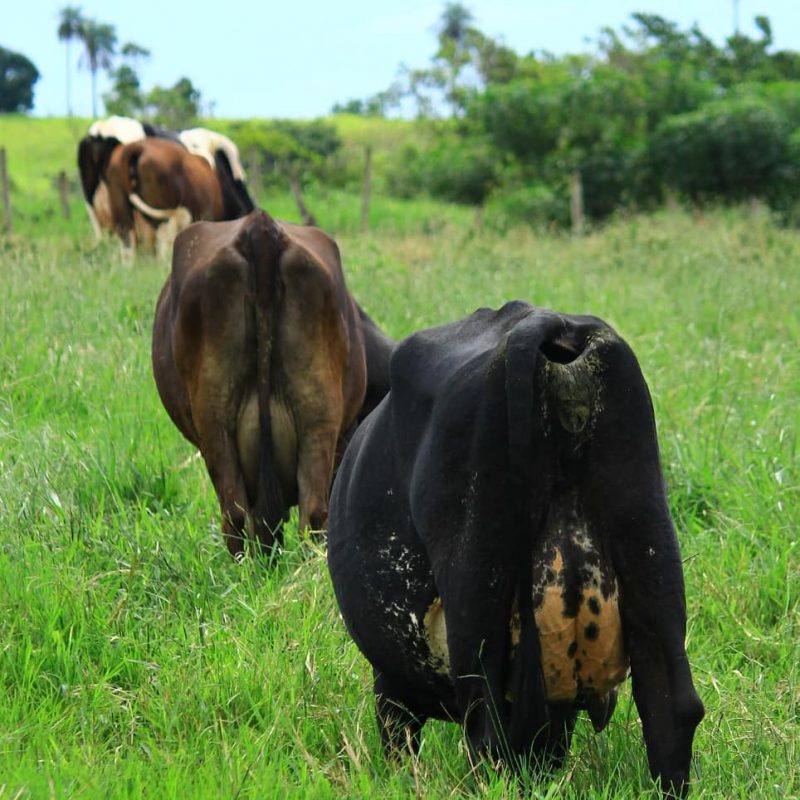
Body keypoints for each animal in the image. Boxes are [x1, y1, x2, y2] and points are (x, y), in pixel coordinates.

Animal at [327, 301, 704, 797]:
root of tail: (550, 322)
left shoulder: (390, 683)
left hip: (476, 598)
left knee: (486, 734)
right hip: (650, 549)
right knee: (672, 710)